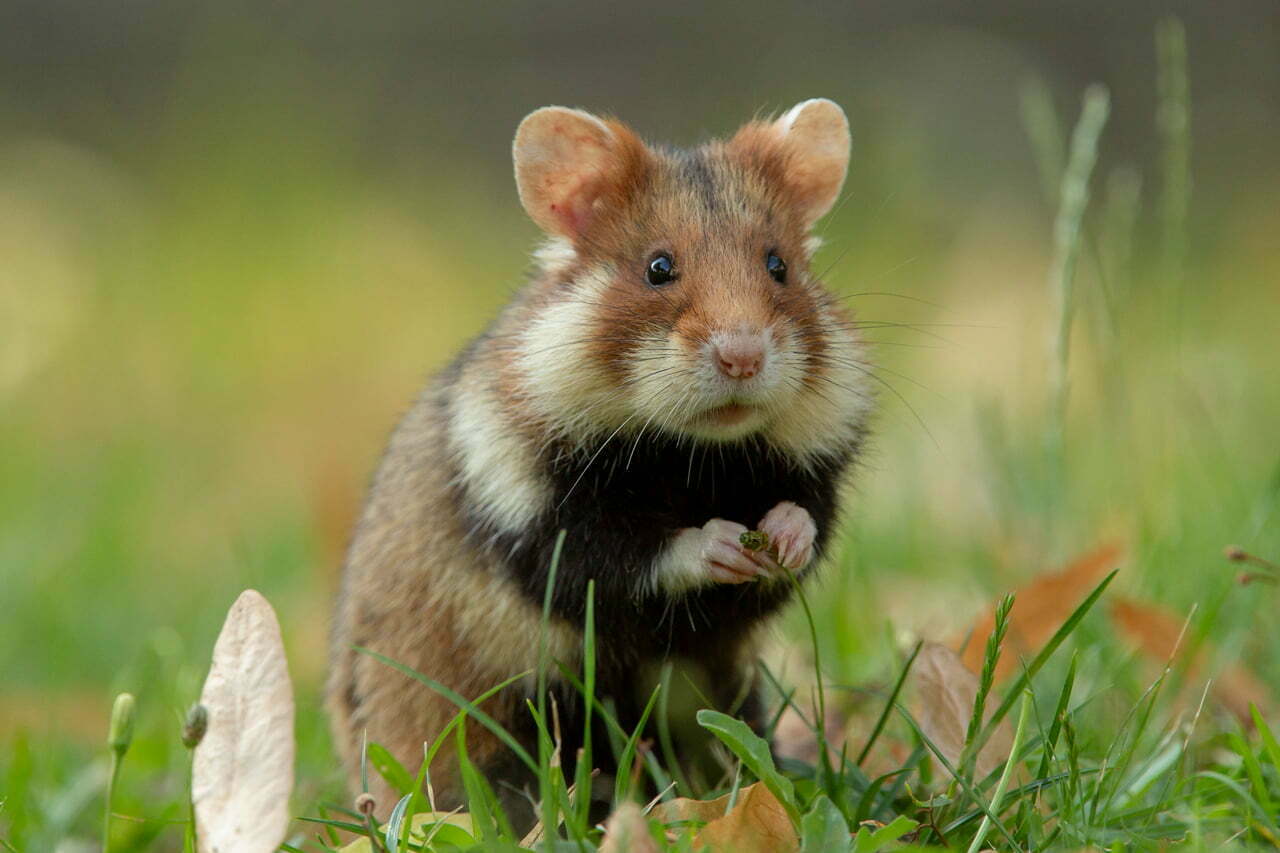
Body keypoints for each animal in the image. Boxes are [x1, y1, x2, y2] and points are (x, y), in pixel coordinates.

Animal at [327, 98, 873, 823]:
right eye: (658, 267)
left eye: (778, 265)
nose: (743, 357)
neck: (695, 453)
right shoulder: (539, 521)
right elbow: (628, 558)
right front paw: (724, 545)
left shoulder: (815, 474)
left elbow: (808, 519)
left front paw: (782, 536)